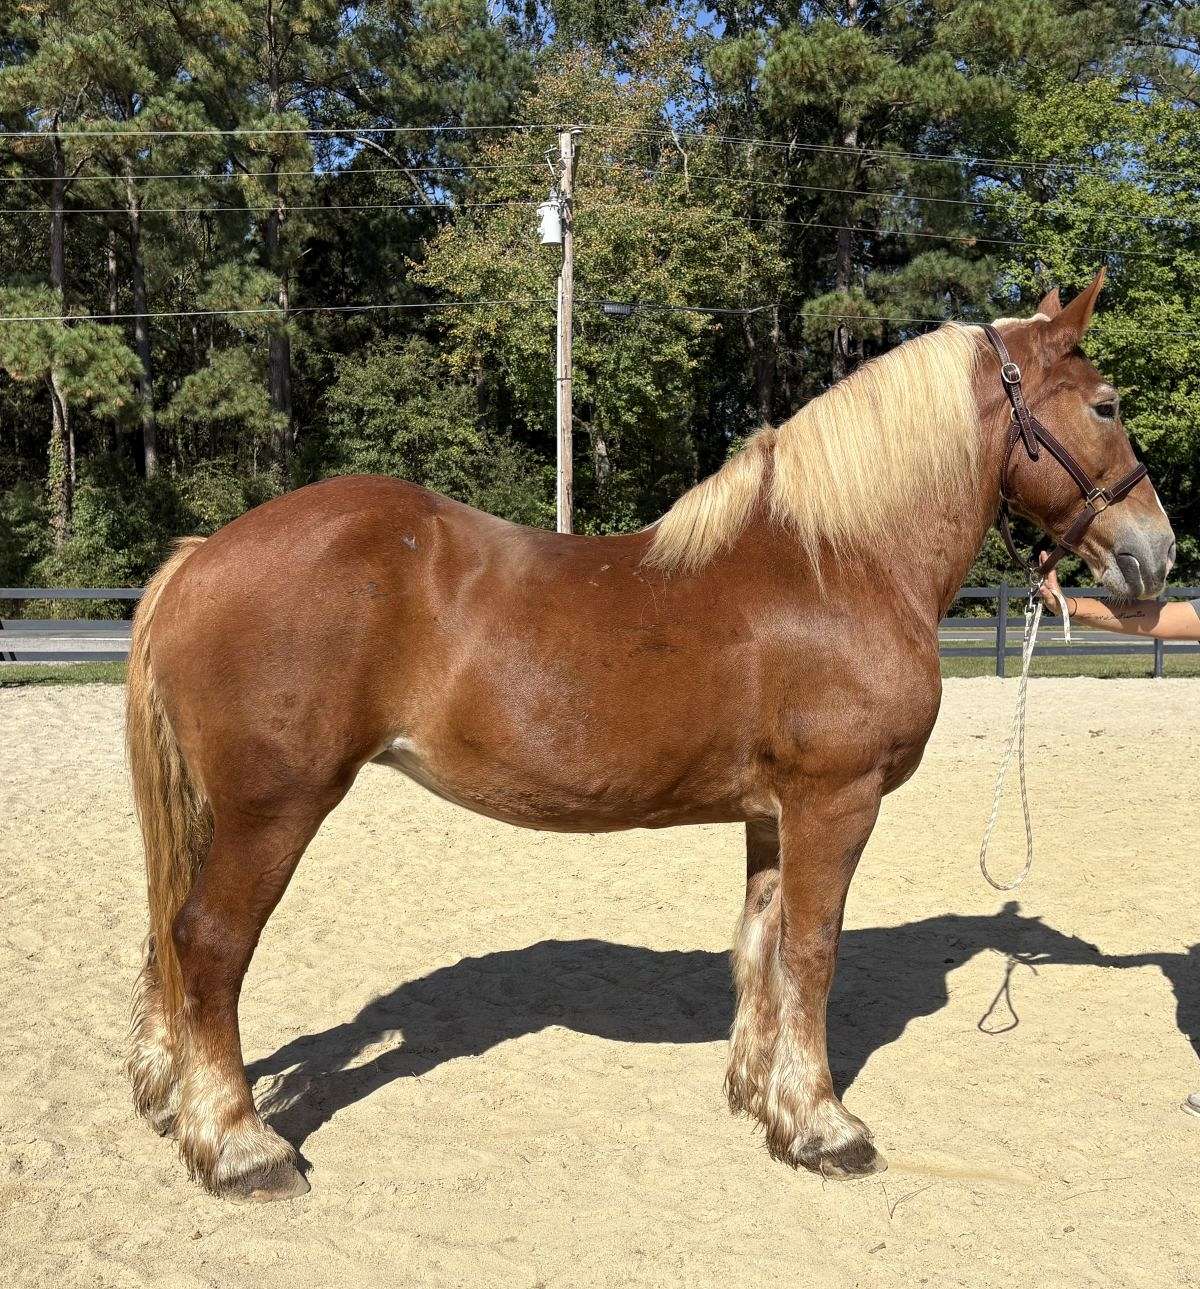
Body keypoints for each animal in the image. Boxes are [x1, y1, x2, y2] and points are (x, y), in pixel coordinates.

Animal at [125, 271, 1174, 1200]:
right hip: (274, 808)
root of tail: (201, 558)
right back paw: (241, 1146)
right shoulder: (835, 799)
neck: (839, 563)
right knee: (209, 944)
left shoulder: (773, 813)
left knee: (175, 943)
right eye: (1108, 404)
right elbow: (814, 952)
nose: (1154, 554)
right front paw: (827, 1126)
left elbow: (762, 947)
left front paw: (766, 1103)